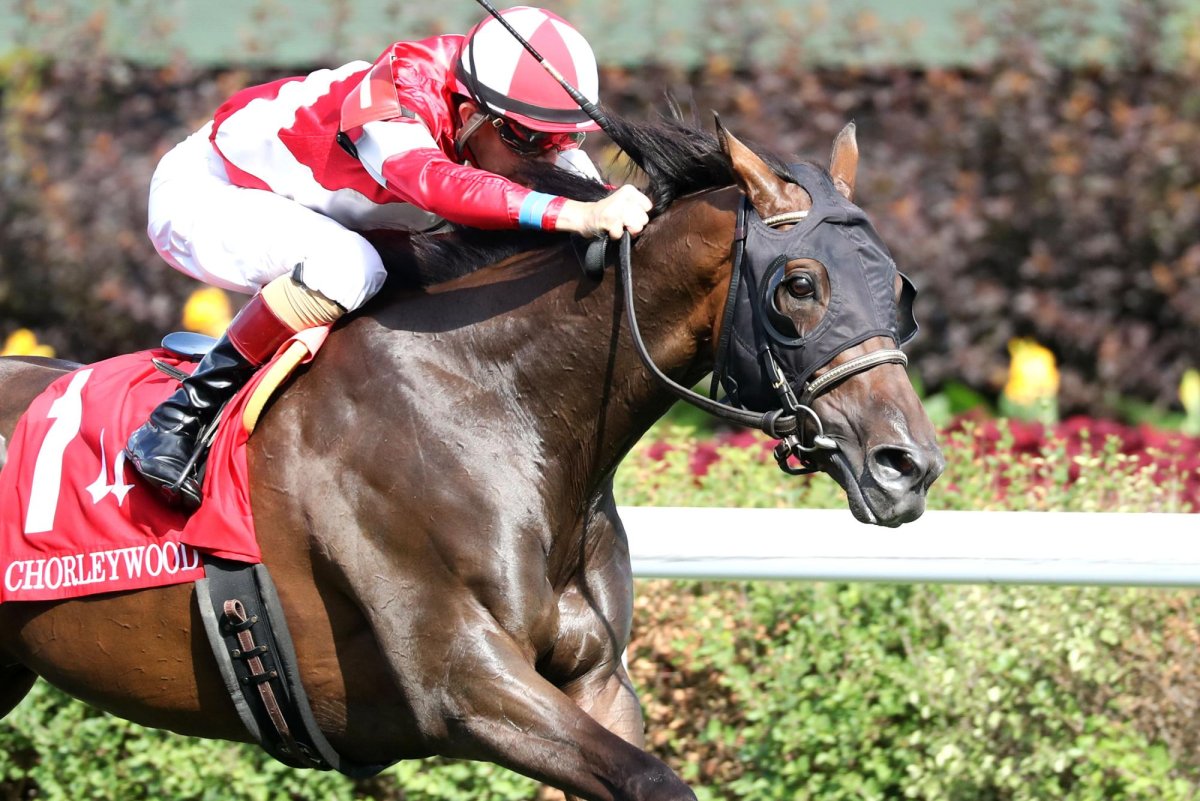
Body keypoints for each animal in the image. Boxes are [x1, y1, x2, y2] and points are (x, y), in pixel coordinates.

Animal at [0, 112, 943, 801]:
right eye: (799, 285)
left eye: (900, 287)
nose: (910, 465)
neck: (498, 407)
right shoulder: (463, 678)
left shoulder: (596, 679)